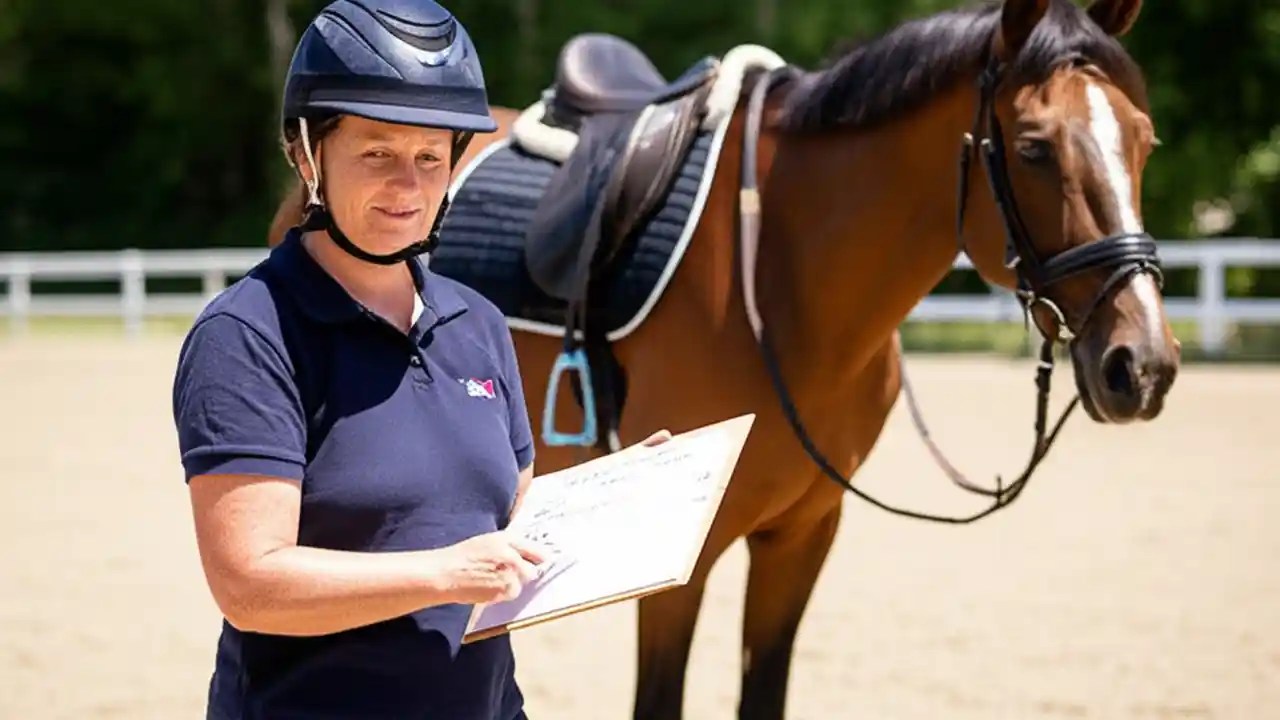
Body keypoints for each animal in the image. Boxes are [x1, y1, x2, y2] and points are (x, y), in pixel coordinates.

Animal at [267, 0, 1179, 717]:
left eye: (1144, 140)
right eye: (1032, 147)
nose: (1143, 364)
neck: (786, 274)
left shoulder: (802, 535)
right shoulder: (688, 558)